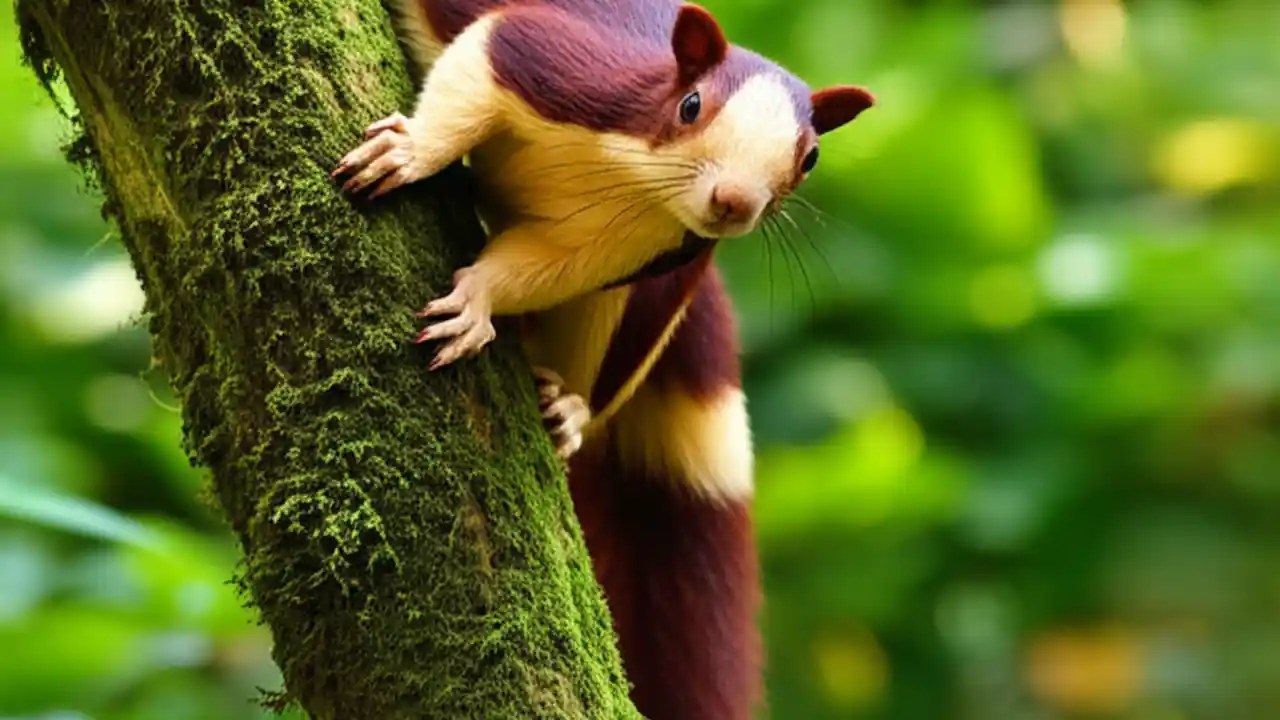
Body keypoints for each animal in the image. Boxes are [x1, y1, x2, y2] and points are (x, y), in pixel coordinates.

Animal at [333, 1, 872, 717]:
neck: (639, 178)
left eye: (809, 157)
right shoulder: (566, 71)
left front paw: (478, 299)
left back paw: (566, 408)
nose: (733, 203)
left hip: (664, 290)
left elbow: (544, 265)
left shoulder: (646, 244)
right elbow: (487, 55)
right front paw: (412, 149)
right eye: (691, 106)